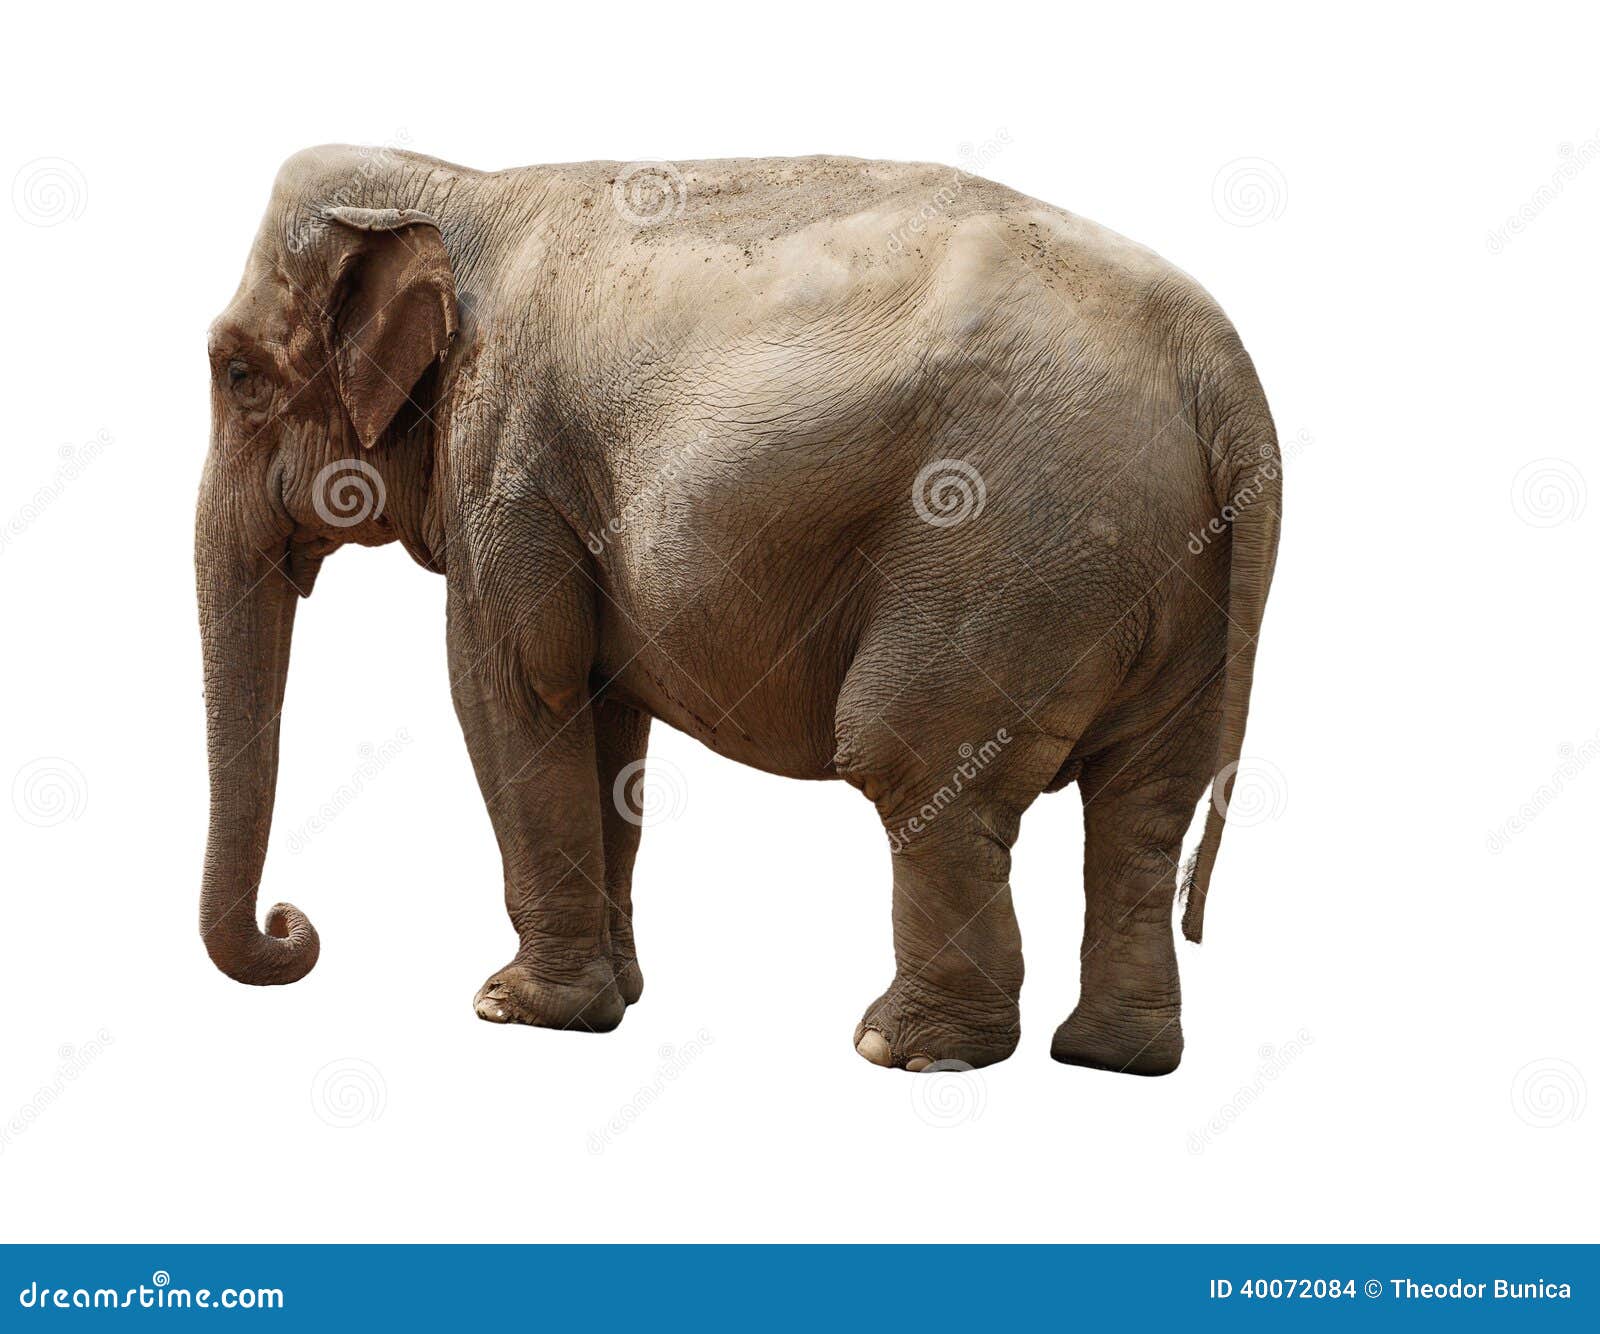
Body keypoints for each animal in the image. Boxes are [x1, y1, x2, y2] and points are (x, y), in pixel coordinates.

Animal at [198, 145, 1279, 1075]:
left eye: (237, 373)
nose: (294, 925)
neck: (457, 188)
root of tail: (1219, 367)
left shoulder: (508, 459)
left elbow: (512, 683)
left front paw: (515, 1009)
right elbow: (603, 711)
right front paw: (616, 998)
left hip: (1009, 549)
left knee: (912, 757)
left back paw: (906, 1048)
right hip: (1175, 579)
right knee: (1144, 800)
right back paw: (1112, 1056)